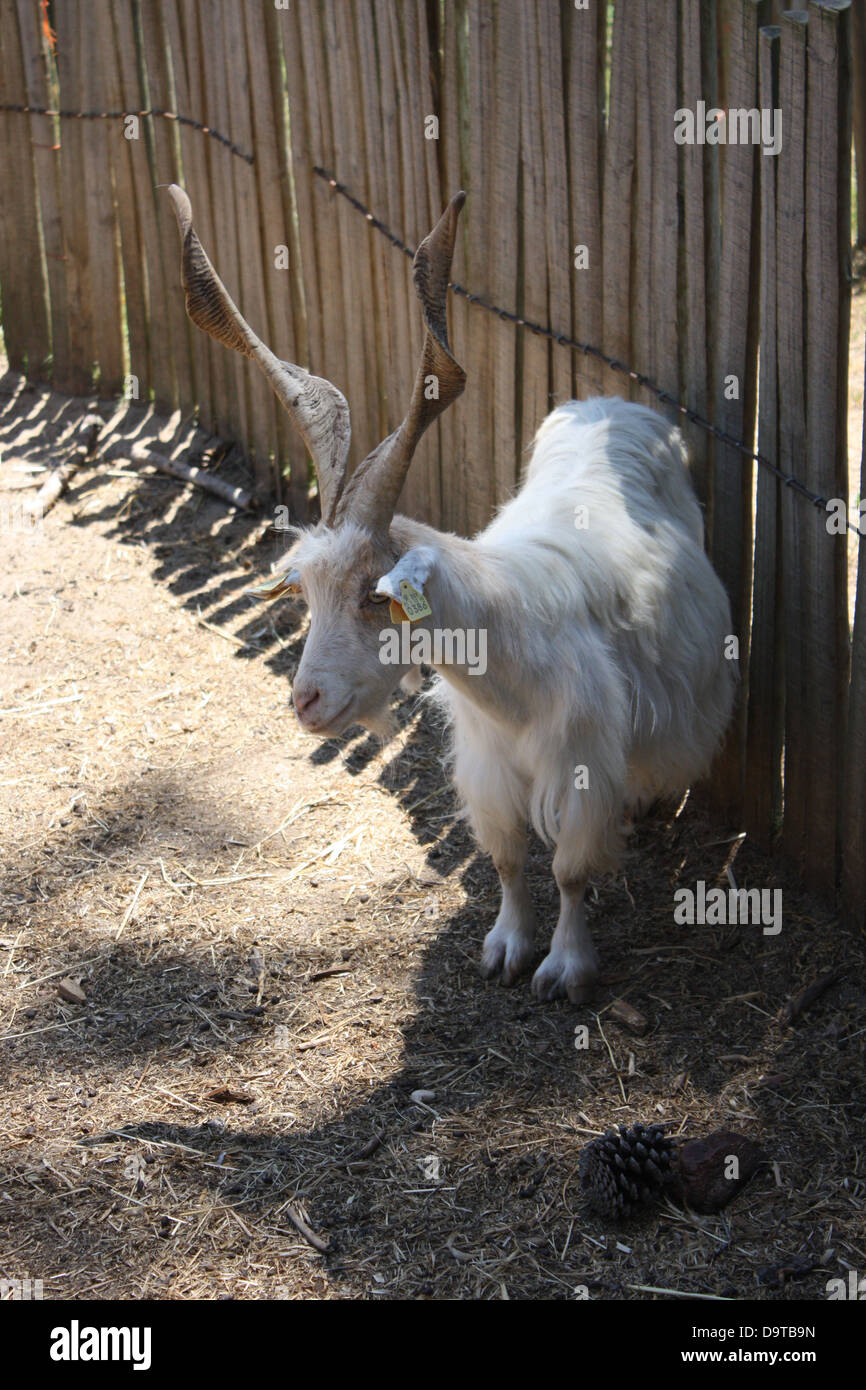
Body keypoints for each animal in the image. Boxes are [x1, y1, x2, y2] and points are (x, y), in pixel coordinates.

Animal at [168, 185, 736, 1003]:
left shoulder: (581, 762)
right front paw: (506, 945)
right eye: (306, 591)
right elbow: (505, 855)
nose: (306, 702)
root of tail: (612, 405)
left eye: (376, 597)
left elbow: (569, 868)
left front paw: (565, 967)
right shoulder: (487, 760)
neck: (514, 663)